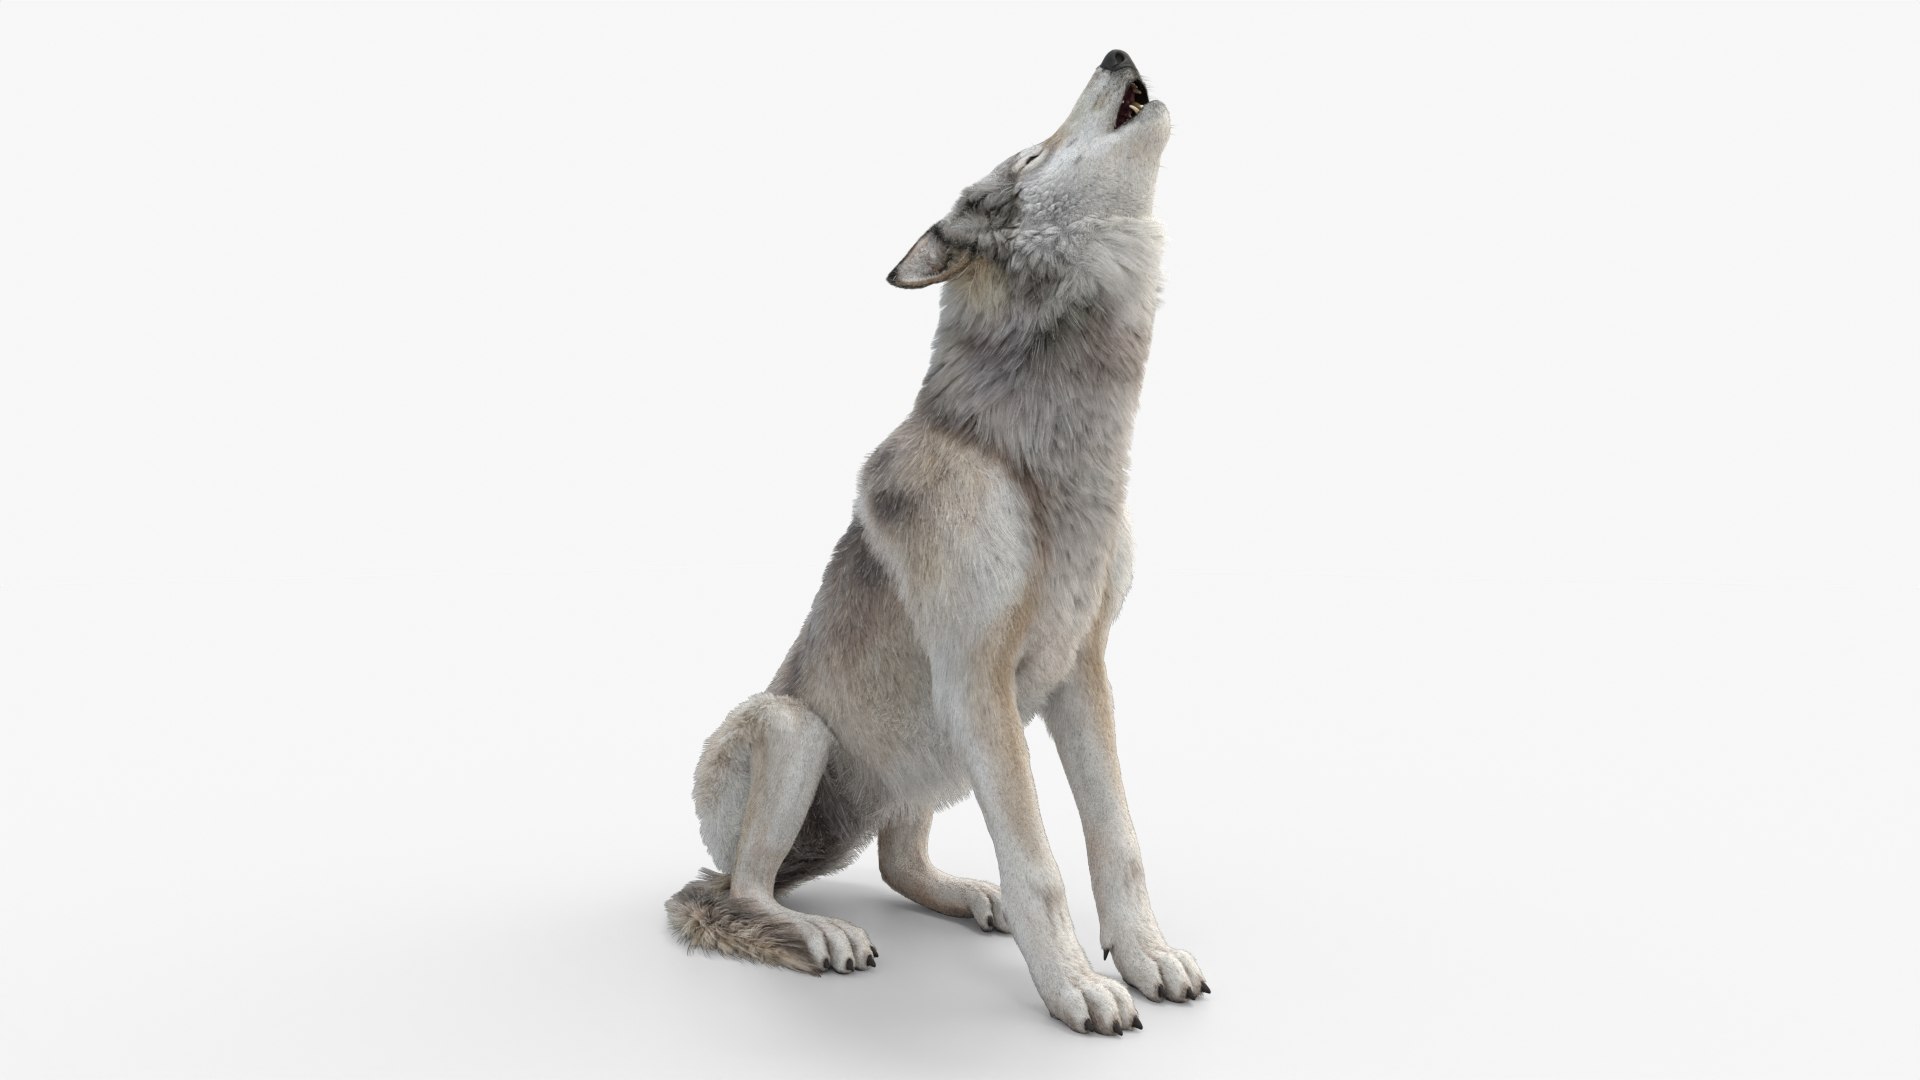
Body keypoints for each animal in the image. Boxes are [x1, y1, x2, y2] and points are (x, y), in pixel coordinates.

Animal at [665, 49, 1206, 1035]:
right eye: (1030, 156)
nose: (1116, 54)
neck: (1050, 462)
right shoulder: (978, 676)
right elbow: (1040, 864)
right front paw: (1078, 989)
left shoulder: (1077, 670)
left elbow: (1118, 839)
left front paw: (1147, 957)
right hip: (796, 731)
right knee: (742, 888)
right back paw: (821, 932)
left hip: (933, 762)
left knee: (895, 859)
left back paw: (965, 893)